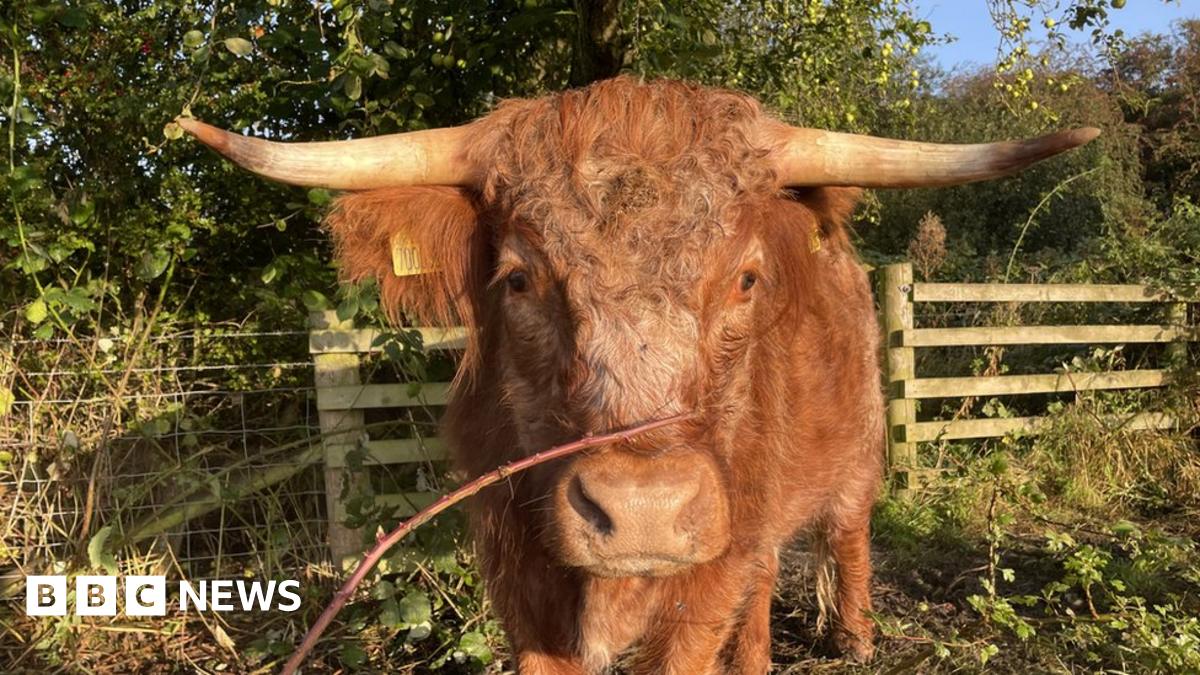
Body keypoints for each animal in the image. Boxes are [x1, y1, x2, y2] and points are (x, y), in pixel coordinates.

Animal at [180, 77, 1097, 674]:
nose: (643, 512)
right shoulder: (520, 572)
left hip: (851, 462)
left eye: (746, 278)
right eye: (519, 279)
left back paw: (855, 637)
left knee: (847, 532)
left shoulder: (700, 583)